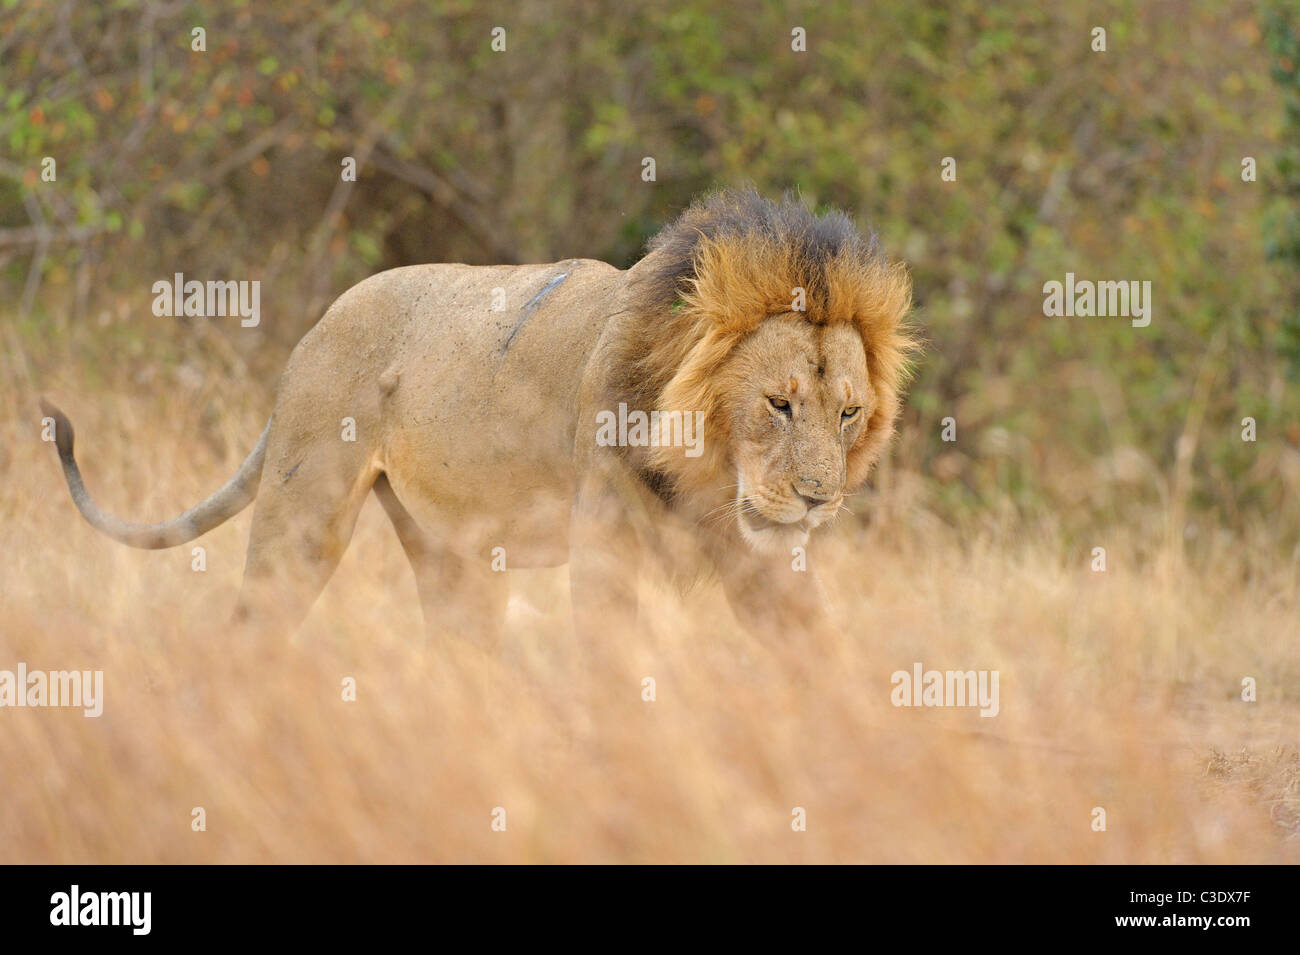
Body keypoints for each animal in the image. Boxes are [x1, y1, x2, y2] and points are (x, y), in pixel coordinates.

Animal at [42, 186, 914, 643]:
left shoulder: (765, 563)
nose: (818, 499)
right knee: (254, 623)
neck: (706, 472)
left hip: (450, 552)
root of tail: (314, 332)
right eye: (778, 403)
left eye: (847, 413)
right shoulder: (606, 547)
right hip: (302, 514)